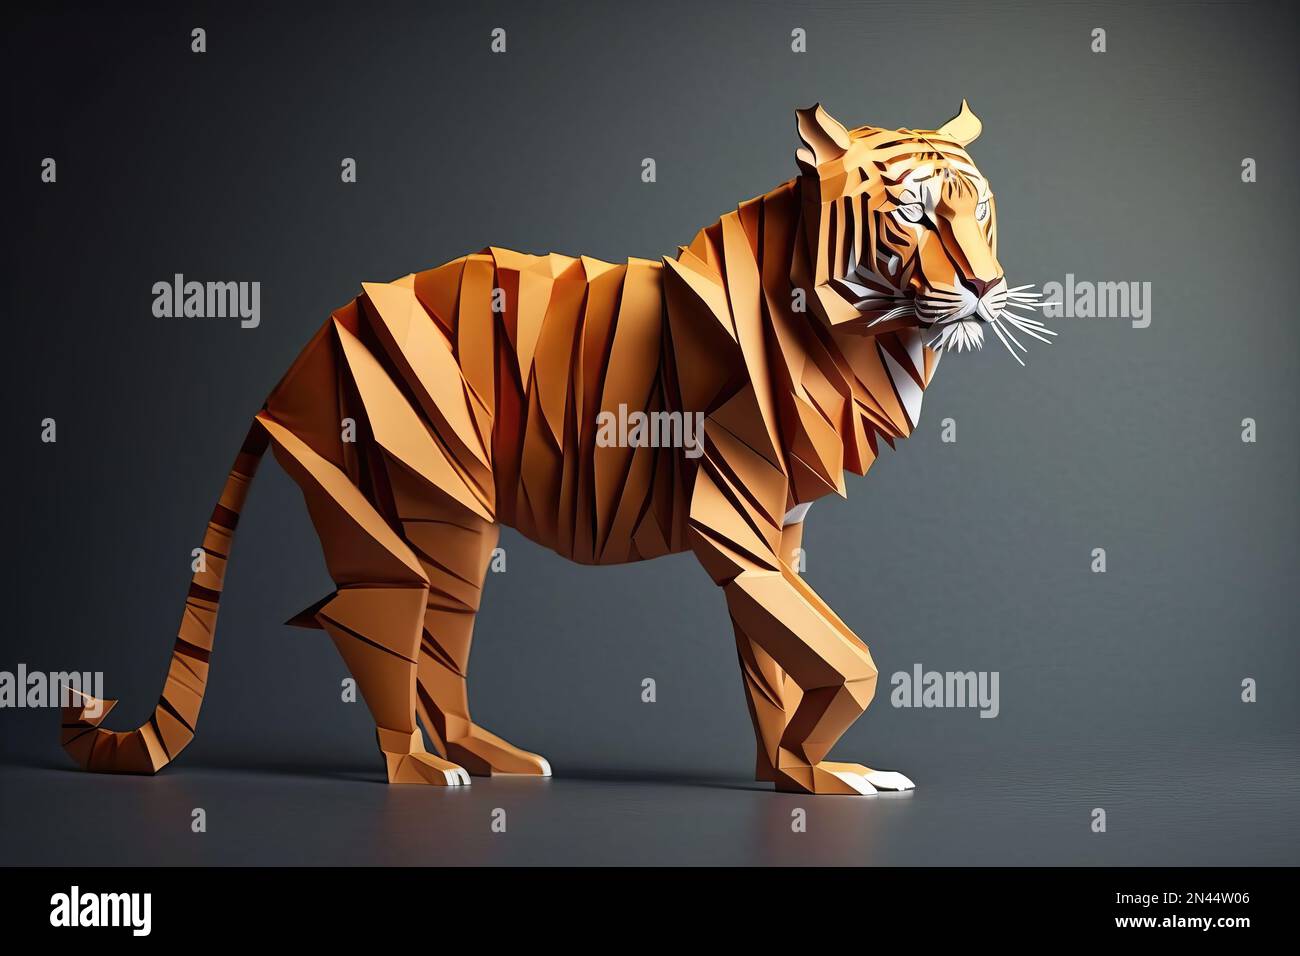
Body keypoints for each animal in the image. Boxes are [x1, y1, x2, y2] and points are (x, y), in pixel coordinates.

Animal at [60, 101, 1051, 795]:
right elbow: (848, 659)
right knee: (373, 619)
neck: (867, 337)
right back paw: (419, 773)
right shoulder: (729, 520)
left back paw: (492, 757)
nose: (987, 286)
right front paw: (829, 769)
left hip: (447, 527)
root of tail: (306, 346)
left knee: (435, 647)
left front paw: (797, 775)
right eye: (914, 216)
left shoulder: (778, 531)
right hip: (423, 507)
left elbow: (775, 665)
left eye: (982, 211)